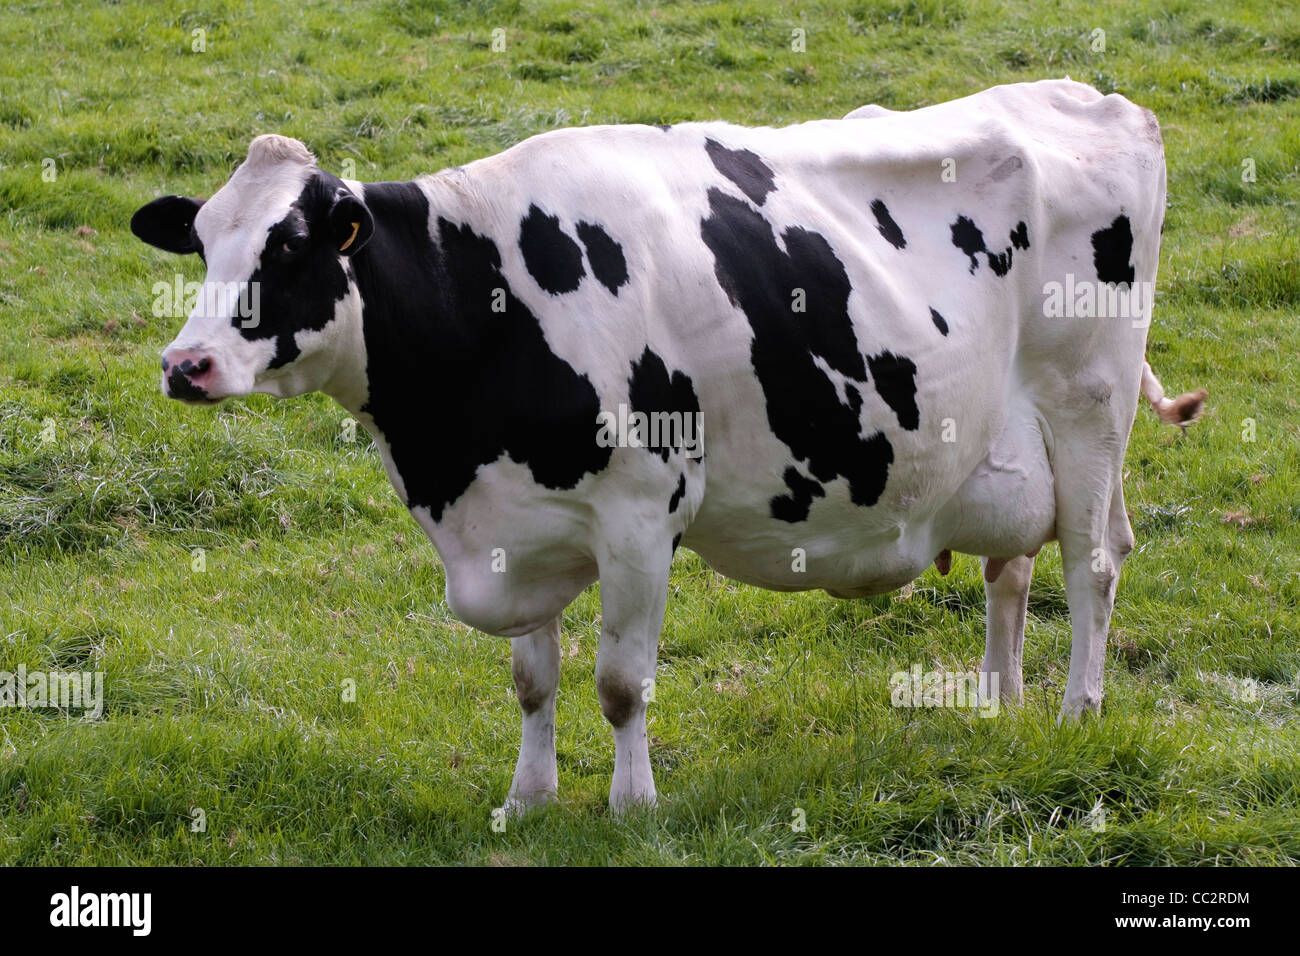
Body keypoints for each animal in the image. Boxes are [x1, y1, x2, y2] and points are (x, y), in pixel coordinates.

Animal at [130, 79, 1205, 811]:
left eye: (289, 247)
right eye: (203, 243)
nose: (186, 364)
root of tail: (1092, 97)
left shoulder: (641, 515)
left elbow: (618, 682)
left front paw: (632, 804)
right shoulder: (514, 525)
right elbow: (532, 678)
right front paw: (527, 799)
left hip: (1090, 401)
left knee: (1093, 559)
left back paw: (1076, 712)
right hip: (1001, 443)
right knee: (1010, 566)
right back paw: (996, 706)